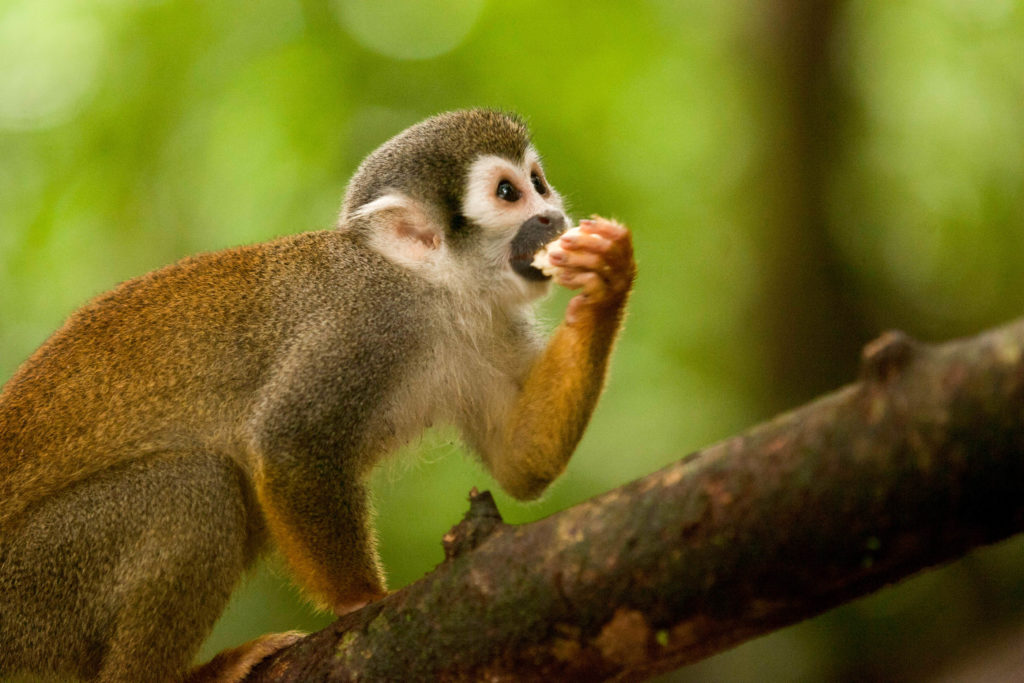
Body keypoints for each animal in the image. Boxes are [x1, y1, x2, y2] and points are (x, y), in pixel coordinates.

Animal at [0, 109, 635, 682]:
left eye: (537, 181)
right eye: (508, 193)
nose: (552, 214)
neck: (433, 291)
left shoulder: (490, 324)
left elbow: (521, 461)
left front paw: (607, 276)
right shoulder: (365, 321)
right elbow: (288, 444)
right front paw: (362, 601)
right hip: (33, 591)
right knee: (192, 491)